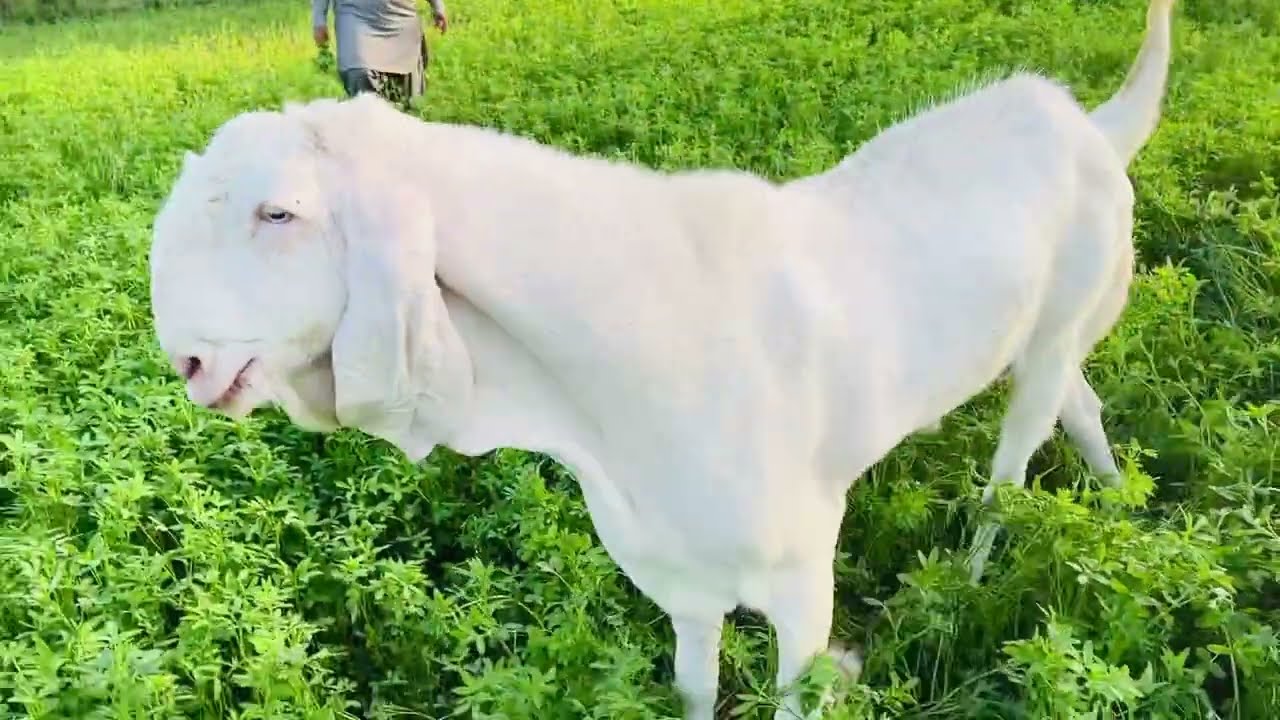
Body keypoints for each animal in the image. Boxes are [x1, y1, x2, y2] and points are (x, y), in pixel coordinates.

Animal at [148, 1, 1176, 716]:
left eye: (280, 211)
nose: (187, 359)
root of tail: (1086, 126)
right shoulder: (677, 580)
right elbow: (690, 686)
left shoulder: (803, 577)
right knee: (1079, 406)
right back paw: (1119, 498)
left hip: (1054, 335)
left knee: (1010, 473)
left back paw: (962, 584)